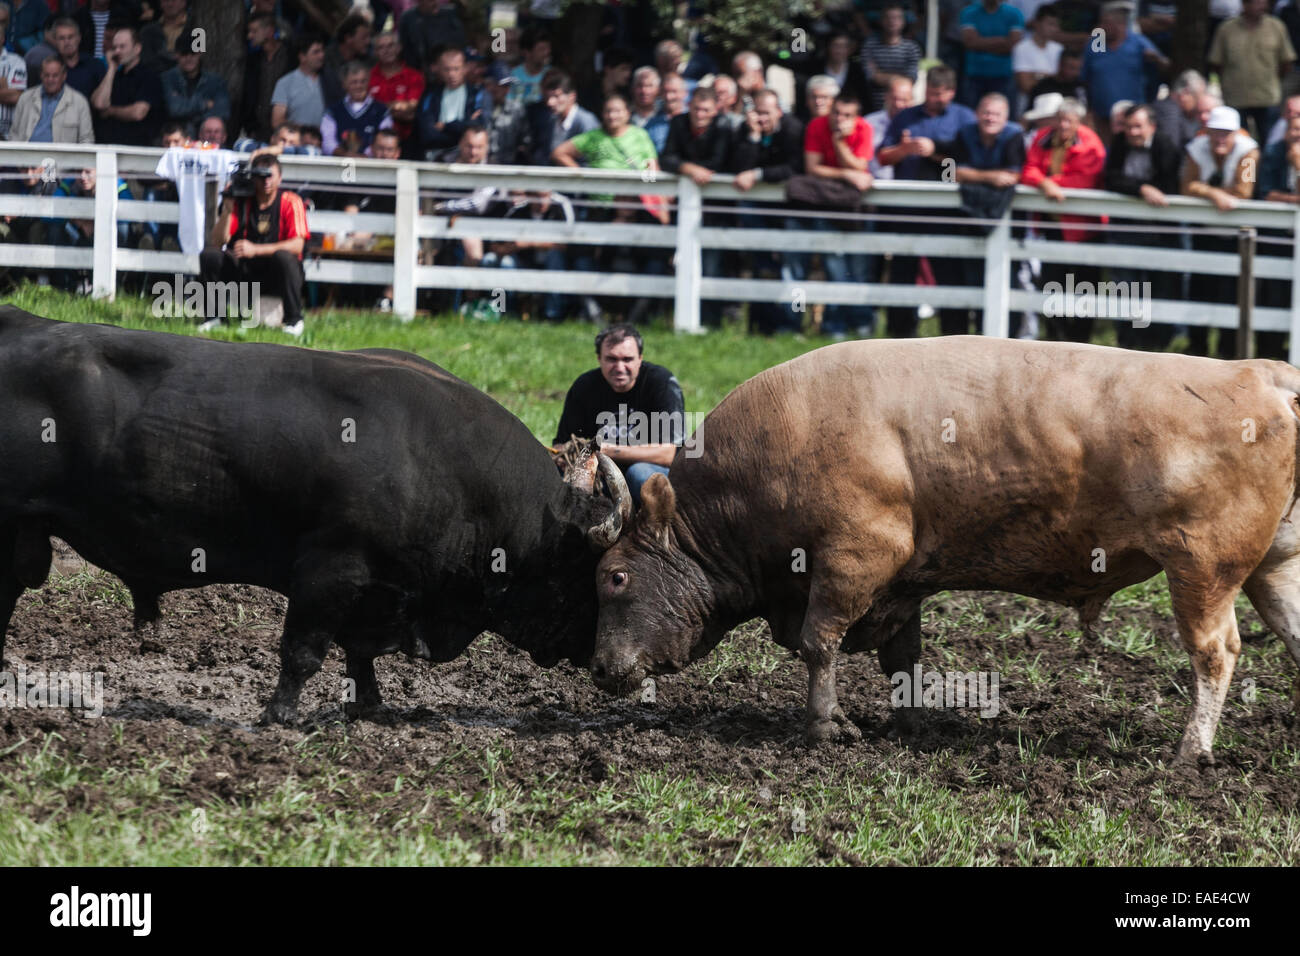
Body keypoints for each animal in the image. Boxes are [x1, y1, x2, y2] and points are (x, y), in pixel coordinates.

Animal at [0, 307, 633, 723]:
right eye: (593, 577)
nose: (604, 663)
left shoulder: (380, 589)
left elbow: (359, 654)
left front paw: (372, 707)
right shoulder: (332, 568)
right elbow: (304, 650)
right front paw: (279, 716)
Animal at [588, 336, 1300, 765]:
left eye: (615, 578)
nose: (598, 669)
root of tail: (1262, 374)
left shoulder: (857, 555)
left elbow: (819, 643)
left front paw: (825, 725)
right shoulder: (902, 582)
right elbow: (902, 655)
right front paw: (907, 724)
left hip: (1203, 568)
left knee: (1215, 654)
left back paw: (1191, 751)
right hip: (1273, 567)